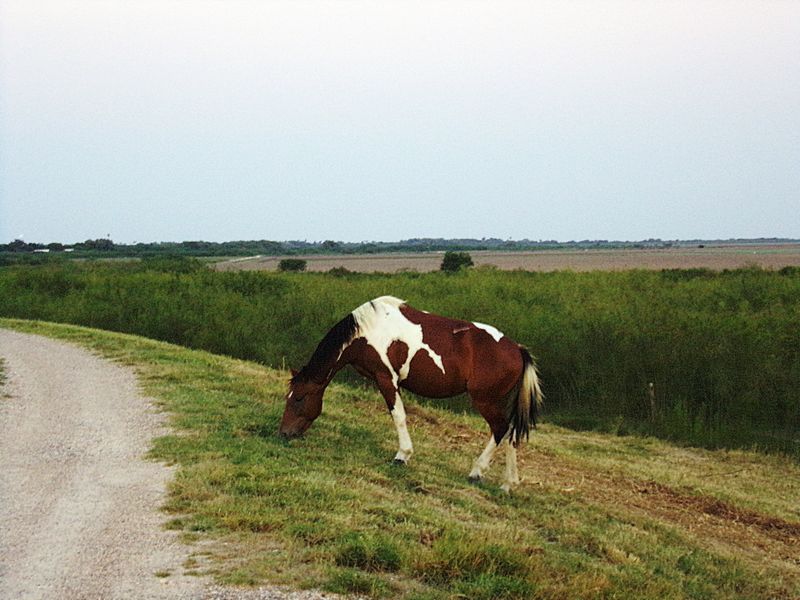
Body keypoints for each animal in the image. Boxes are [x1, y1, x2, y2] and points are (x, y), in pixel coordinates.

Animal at [279, 296, 543, 492]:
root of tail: (518, 350)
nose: (283, 433)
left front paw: (402, 456)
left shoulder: (386, 378)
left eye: (299, 398)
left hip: (486, 401)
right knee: (511, 434)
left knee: (501, 429)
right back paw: (507, 483)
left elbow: (399, 416)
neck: (367, 331)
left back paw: (477, 472)